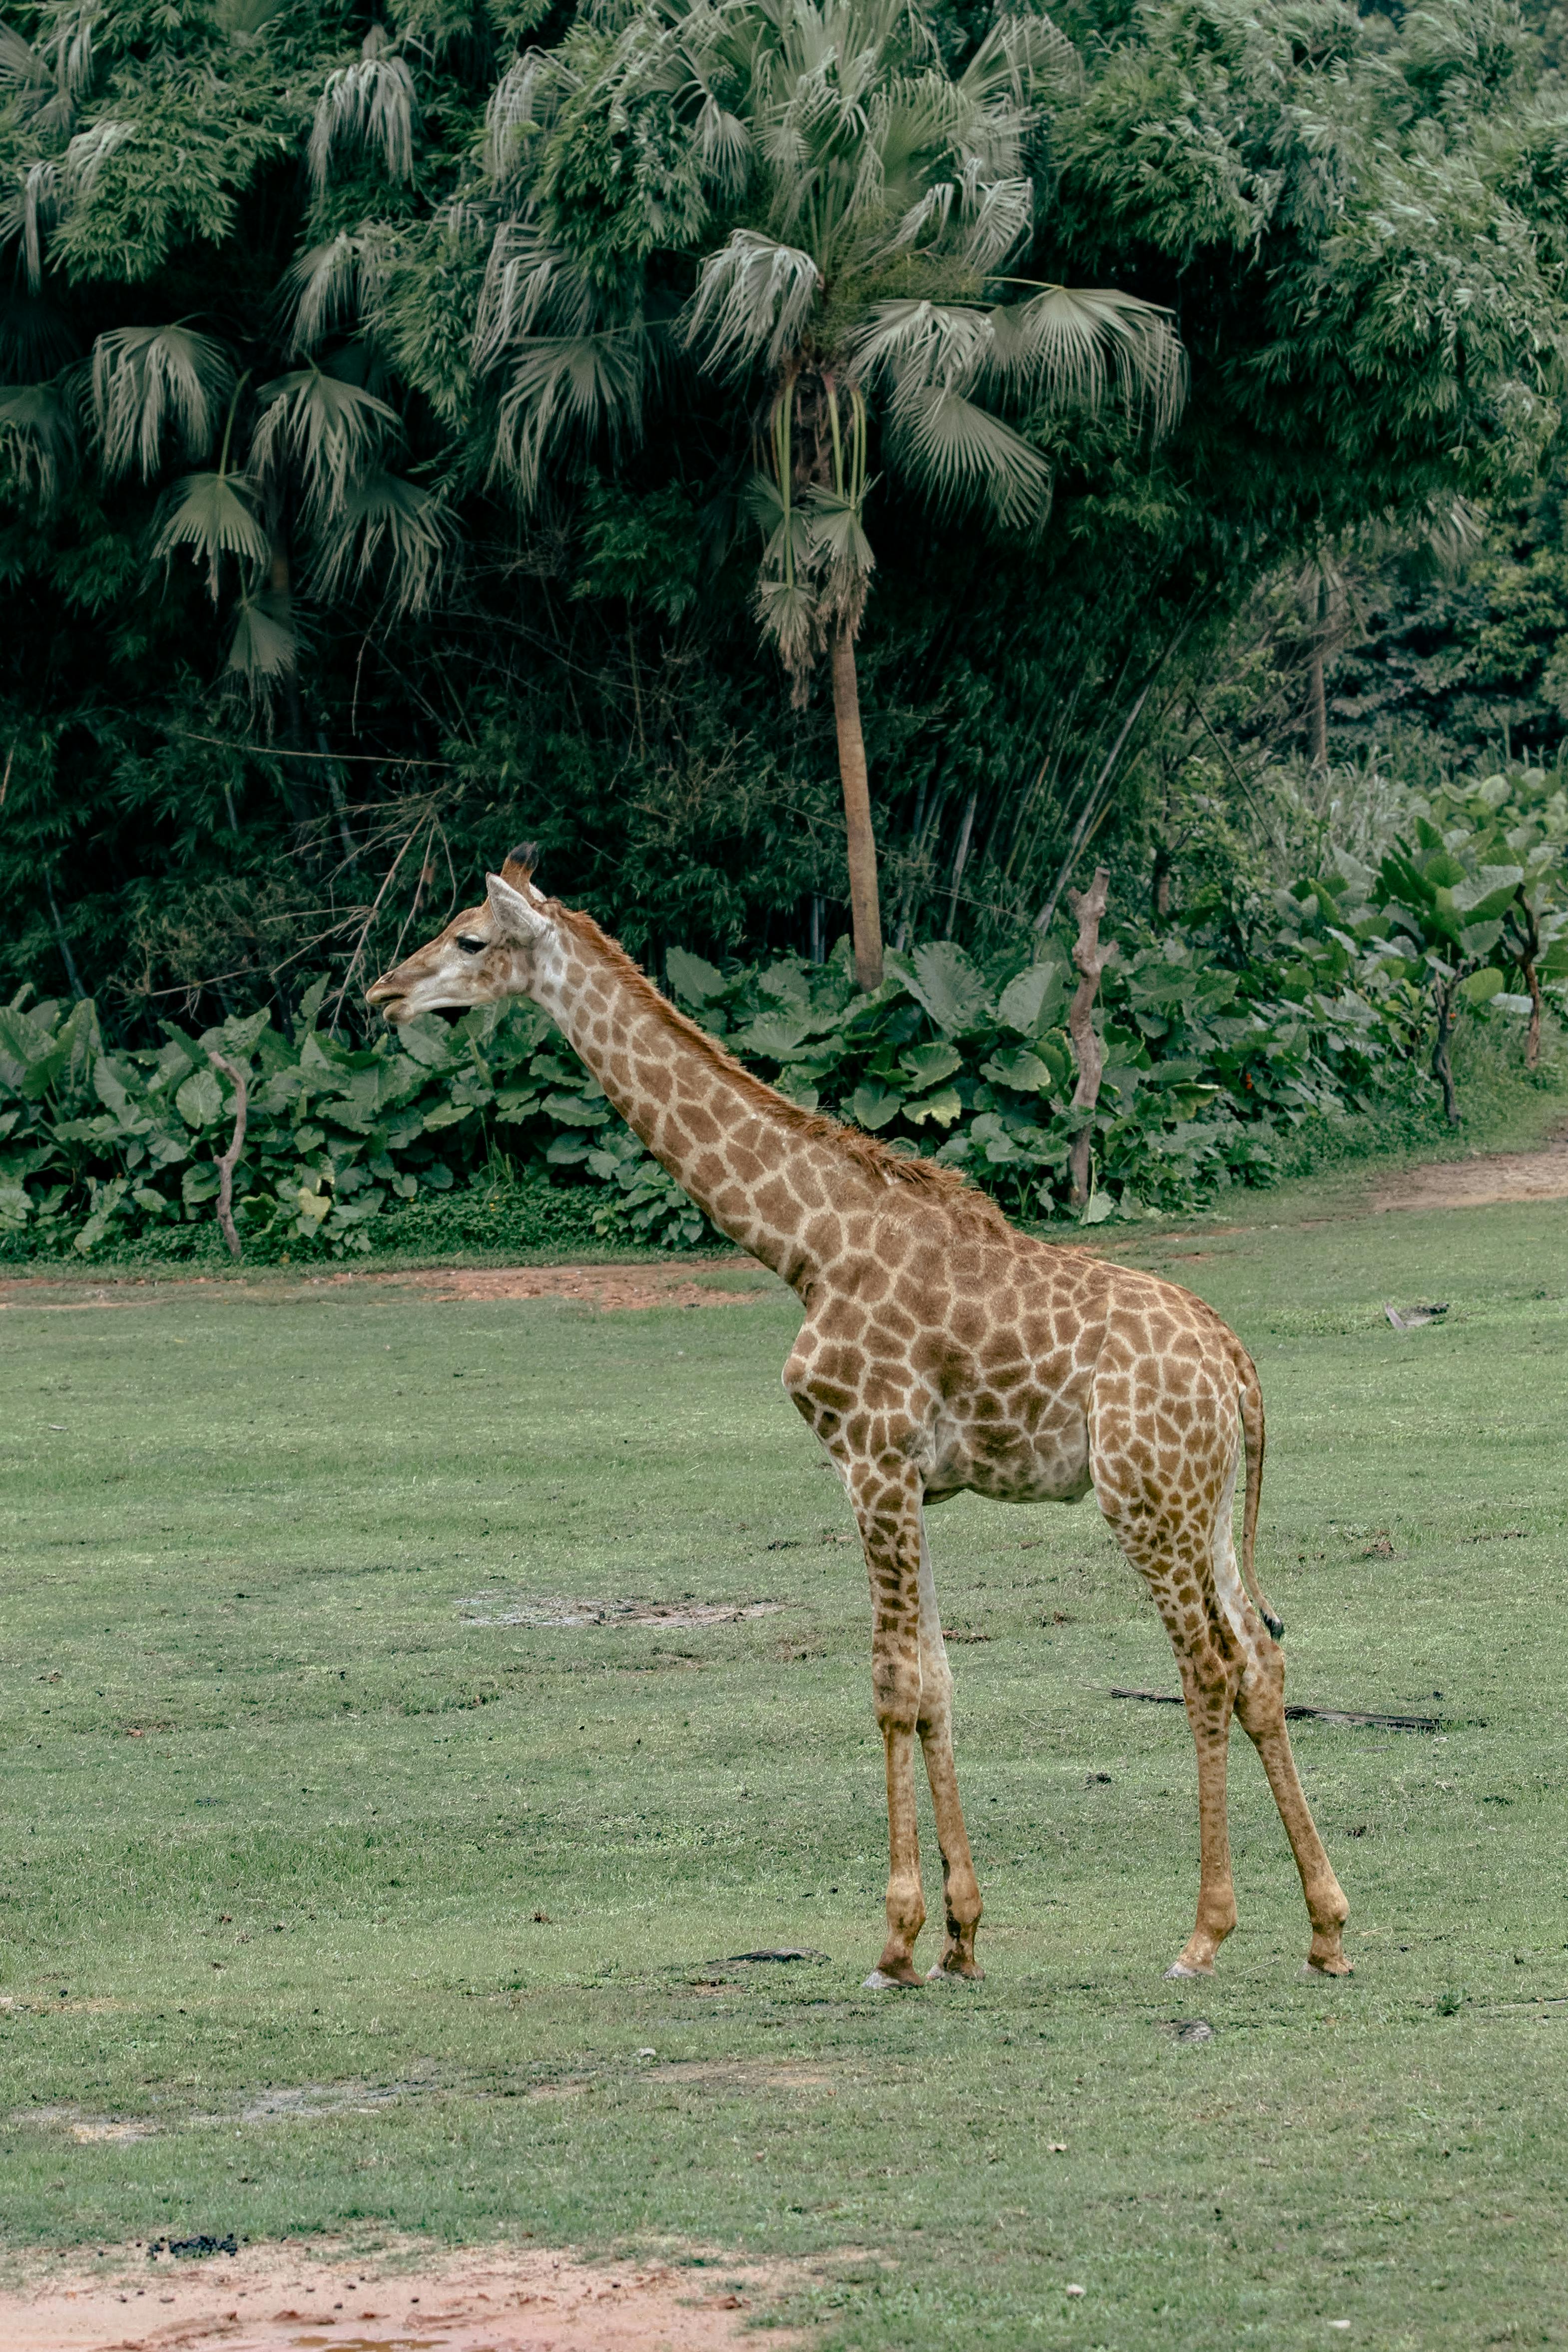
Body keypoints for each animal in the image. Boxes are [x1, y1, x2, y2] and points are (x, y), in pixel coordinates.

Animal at [366, 849, 1351, 1986]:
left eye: (470, 937)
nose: (383, 993)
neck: (803, 1246)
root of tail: (1236, 1365)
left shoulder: (869, 1459)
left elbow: (889, 1682)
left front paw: (895, 1939)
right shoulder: (912, 1481)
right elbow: (939, 1679)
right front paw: (962, 1935)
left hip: (1143, 1500)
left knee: (1206, 1667)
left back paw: (1202, 1931)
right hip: (1206, 1502)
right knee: (1262, 1665)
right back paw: (1326, 1926)